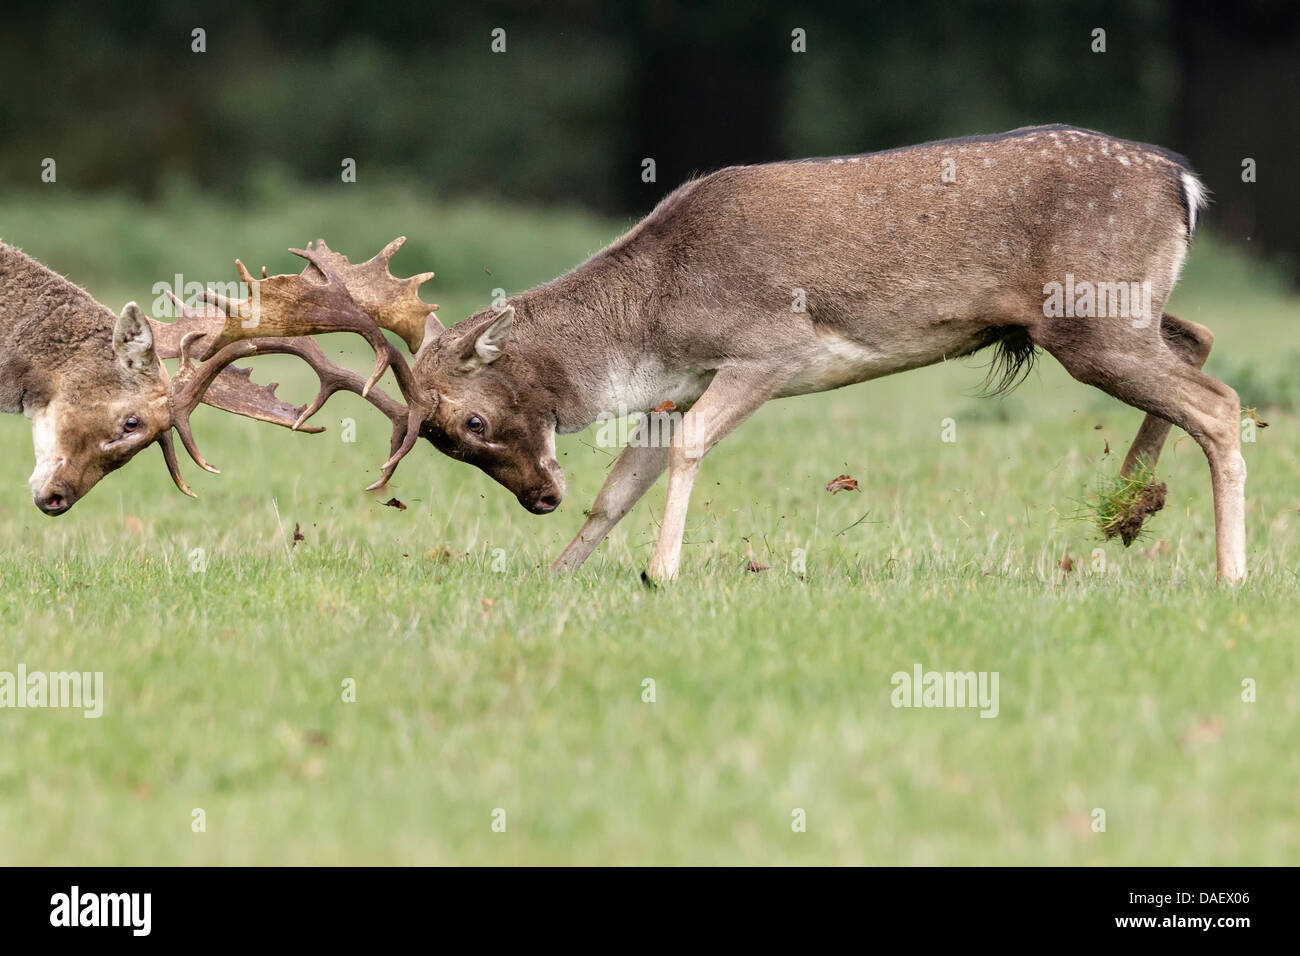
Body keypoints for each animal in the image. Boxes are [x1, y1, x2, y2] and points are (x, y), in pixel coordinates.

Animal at [196, 125, 1245, 585]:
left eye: (475, 418)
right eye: (450, 444)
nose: (537, 500)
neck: (659, 323)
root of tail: (1185, 183)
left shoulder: (769, 351)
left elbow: (694, 446)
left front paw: (660, 574)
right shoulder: (683, 379)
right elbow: (623, 481)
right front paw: (563, 573)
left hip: (1090, 316)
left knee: (1223, 401)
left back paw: (1227, 572)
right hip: (1112, 315)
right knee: (1200, 344)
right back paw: (1125, 506)